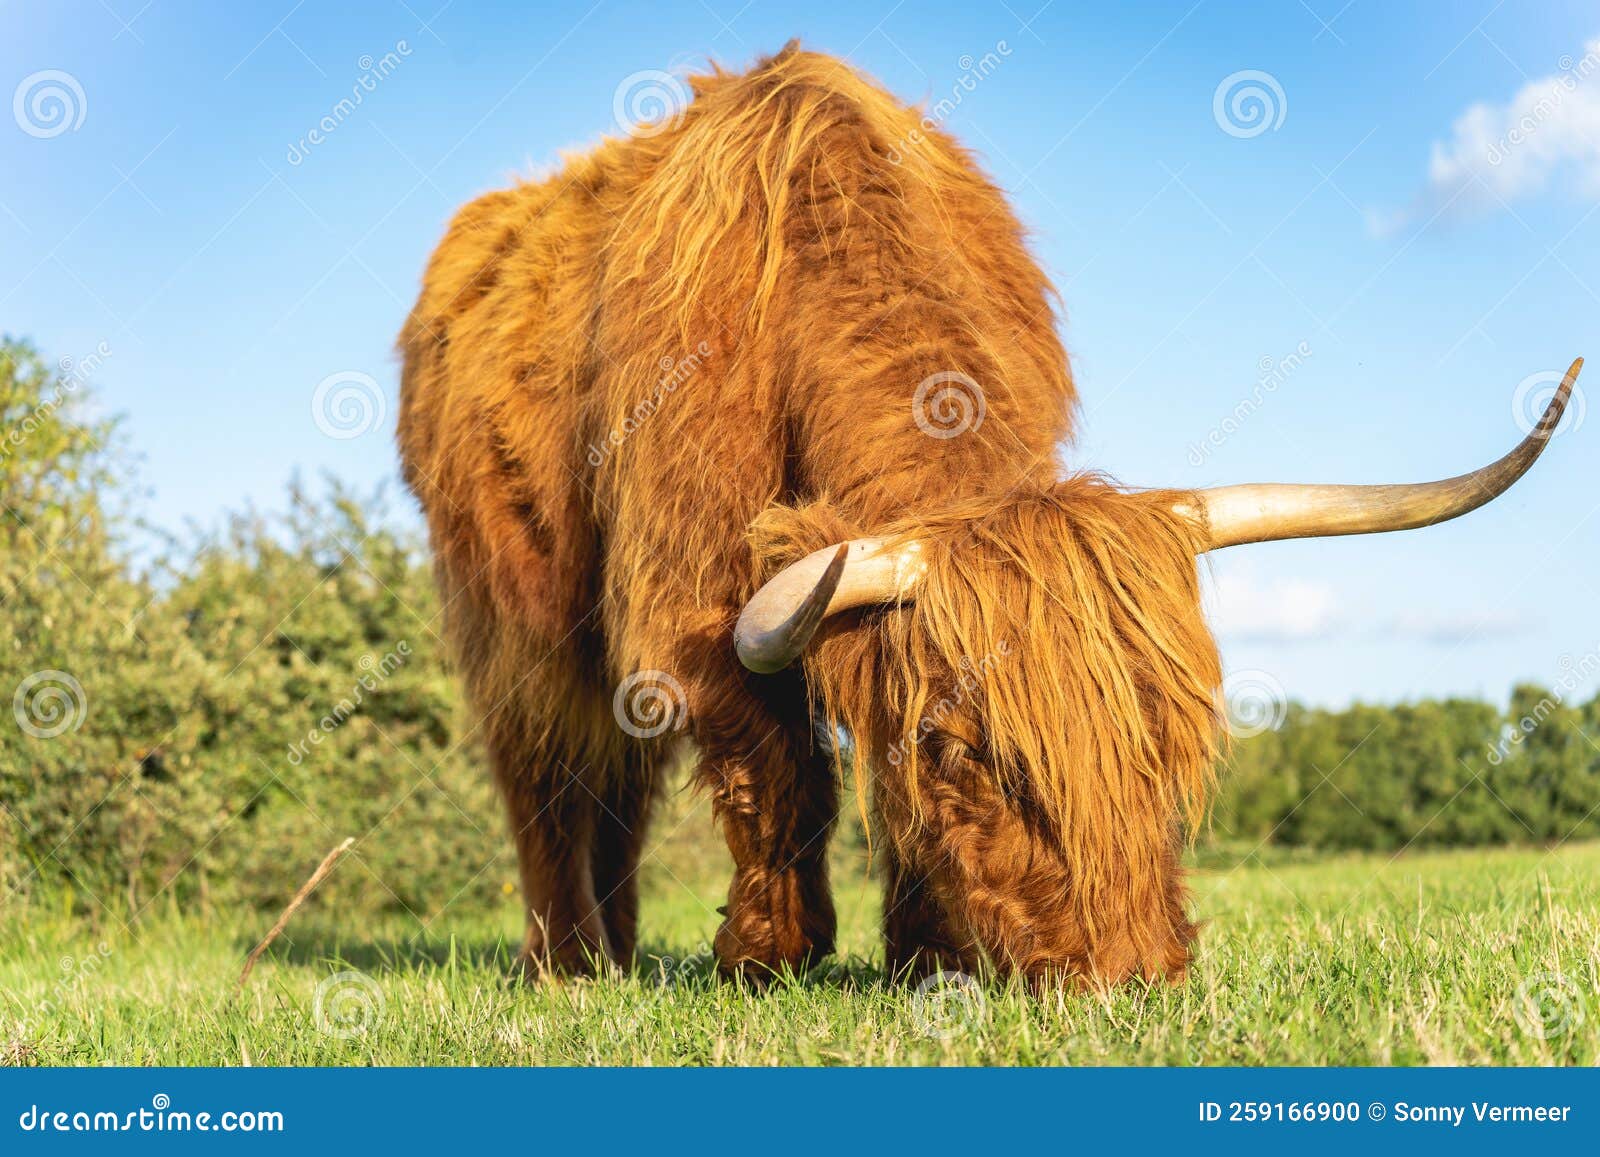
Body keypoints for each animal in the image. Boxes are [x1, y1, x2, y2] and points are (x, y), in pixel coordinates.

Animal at [398, 43, 1576, 987]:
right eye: (959, 748)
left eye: (1171, 735)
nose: (1132, 971)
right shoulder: (690, 591)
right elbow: (778, 765)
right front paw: (766, 955)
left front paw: (928, 953)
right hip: (507, 622)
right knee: (546, 775)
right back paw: (568, 962)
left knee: (617, 790)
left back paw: (620, 948)